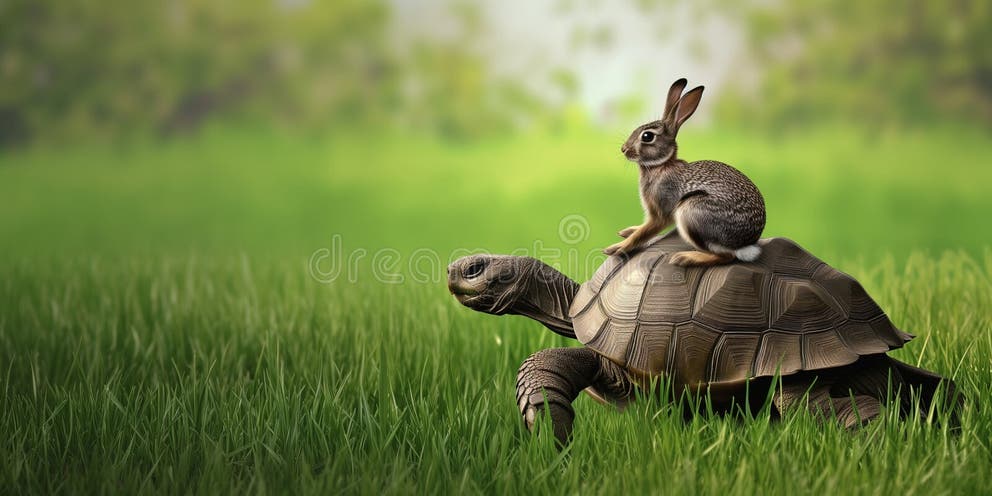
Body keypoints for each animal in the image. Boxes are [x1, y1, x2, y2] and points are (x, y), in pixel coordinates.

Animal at [603, 78, 766, 266]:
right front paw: (628, 231)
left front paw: (617, 248)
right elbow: (642, 228)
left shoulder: (661, 212)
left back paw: (686, 257)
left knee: (726, 256)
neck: (661, 166)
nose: (624, 149)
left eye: (647, 136)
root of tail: (747, 243)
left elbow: (645, 232)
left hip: (691, 211)